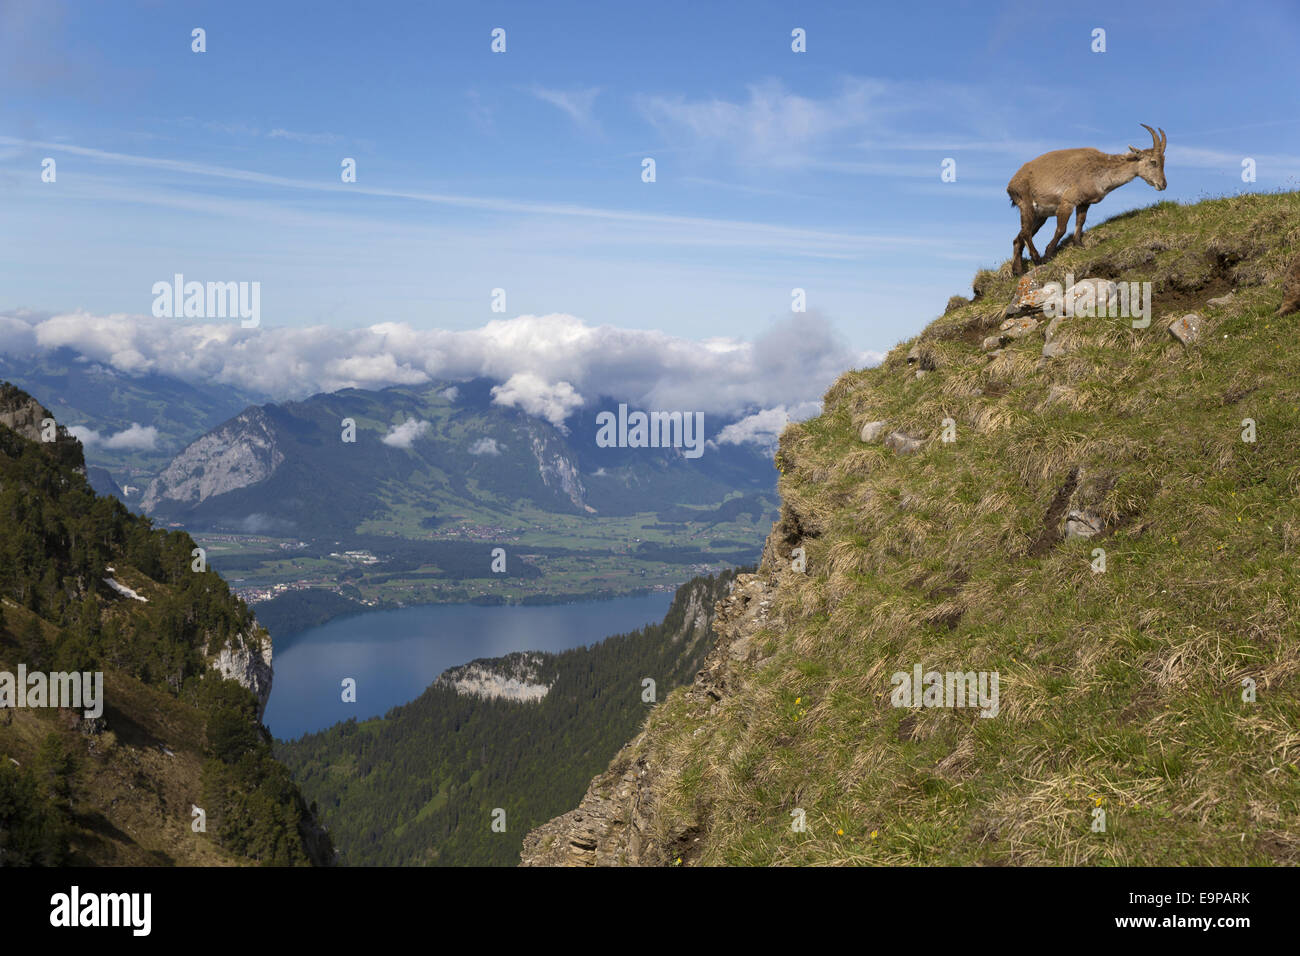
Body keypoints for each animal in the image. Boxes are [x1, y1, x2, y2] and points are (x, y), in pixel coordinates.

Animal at [1008, 125, 1167, 275]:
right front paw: (1048, 254)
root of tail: (1011, 184)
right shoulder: (1067, 202)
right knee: (1026, 233)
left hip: (1041, 215)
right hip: (1026, 204)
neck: (1100, 171)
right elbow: (1061, 229)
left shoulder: (1084, 203)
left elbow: (1080, 222)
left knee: (1018, 238)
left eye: (1163, 161)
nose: (1163, 184)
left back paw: (1017, 270)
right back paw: (1036, 258)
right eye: (1153, 162)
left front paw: (1079, 245)